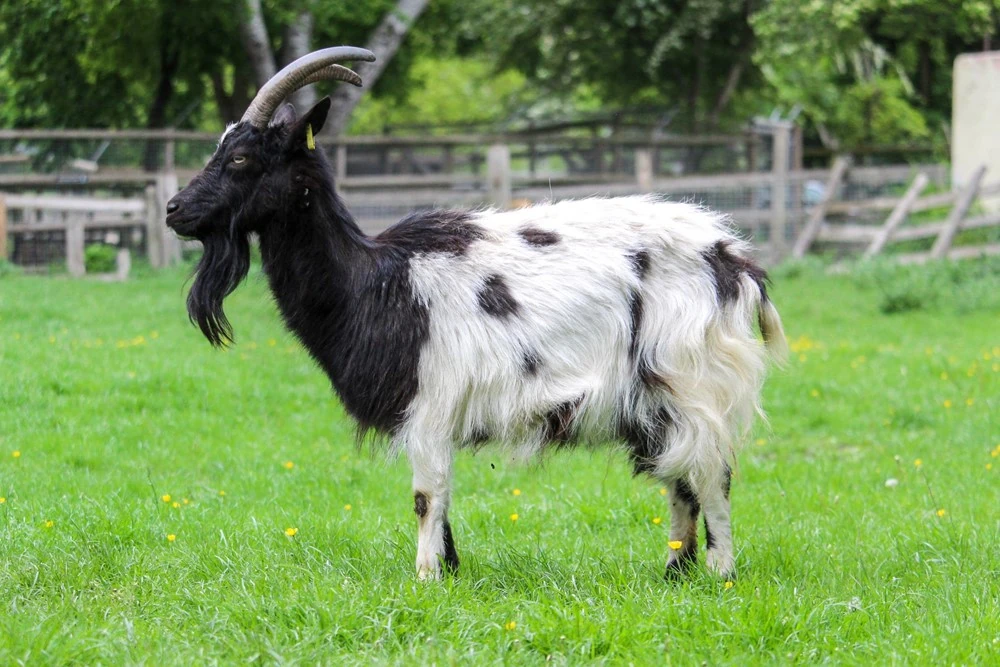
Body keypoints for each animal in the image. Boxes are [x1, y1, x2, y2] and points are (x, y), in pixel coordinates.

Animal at [166, 47, 787, 580]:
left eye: (242, 157)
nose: (174, 210)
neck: (378, 281)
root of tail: (737, 262)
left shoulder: (431, 403)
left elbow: (426, 495)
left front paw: (425, 578)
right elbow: (440, 502)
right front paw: (451, 568)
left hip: (693, 380)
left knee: (712, 474)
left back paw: (720, 574)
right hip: (657, 402)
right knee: (679, 479)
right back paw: (672, 573)